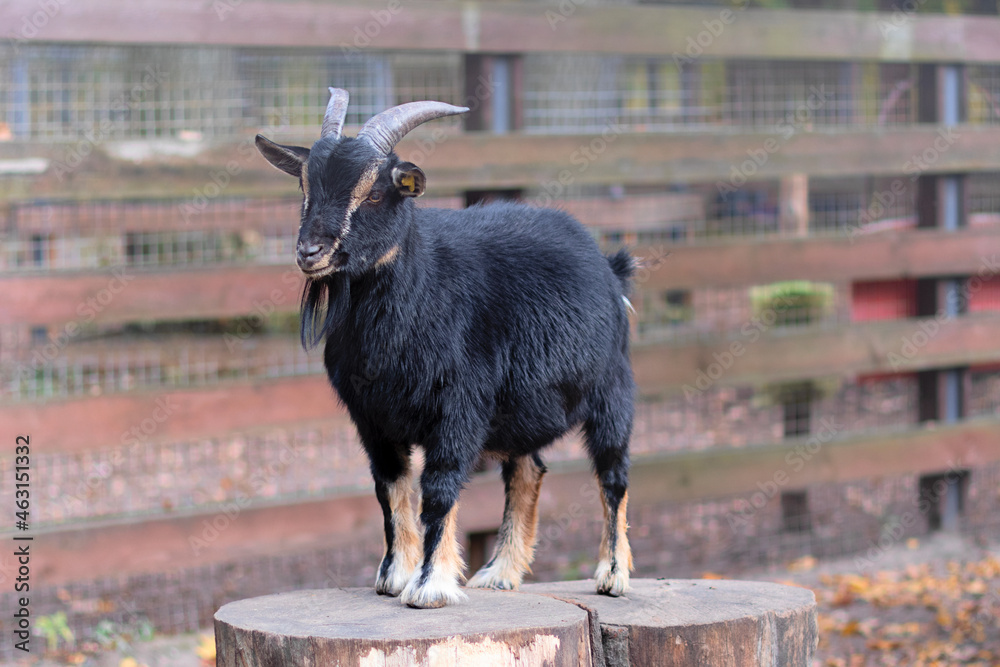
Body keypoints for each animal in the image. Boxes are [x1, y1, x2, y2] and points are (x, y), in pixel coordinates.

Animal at [255, 88, 635, 609]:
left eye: (375, 192)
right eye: (304, 187)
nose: (310, 251)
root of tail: (609, 266)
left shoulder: (459, 405)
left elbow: (439, 485)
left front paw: (429, 585)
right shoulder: (372, 418)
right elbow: (391, 487)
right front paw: (393, 576)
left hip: (611, 388)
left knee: (612, 474)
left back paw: (612, 576)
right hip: (520, 409)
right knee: (528, 470)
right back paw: (500, 573)